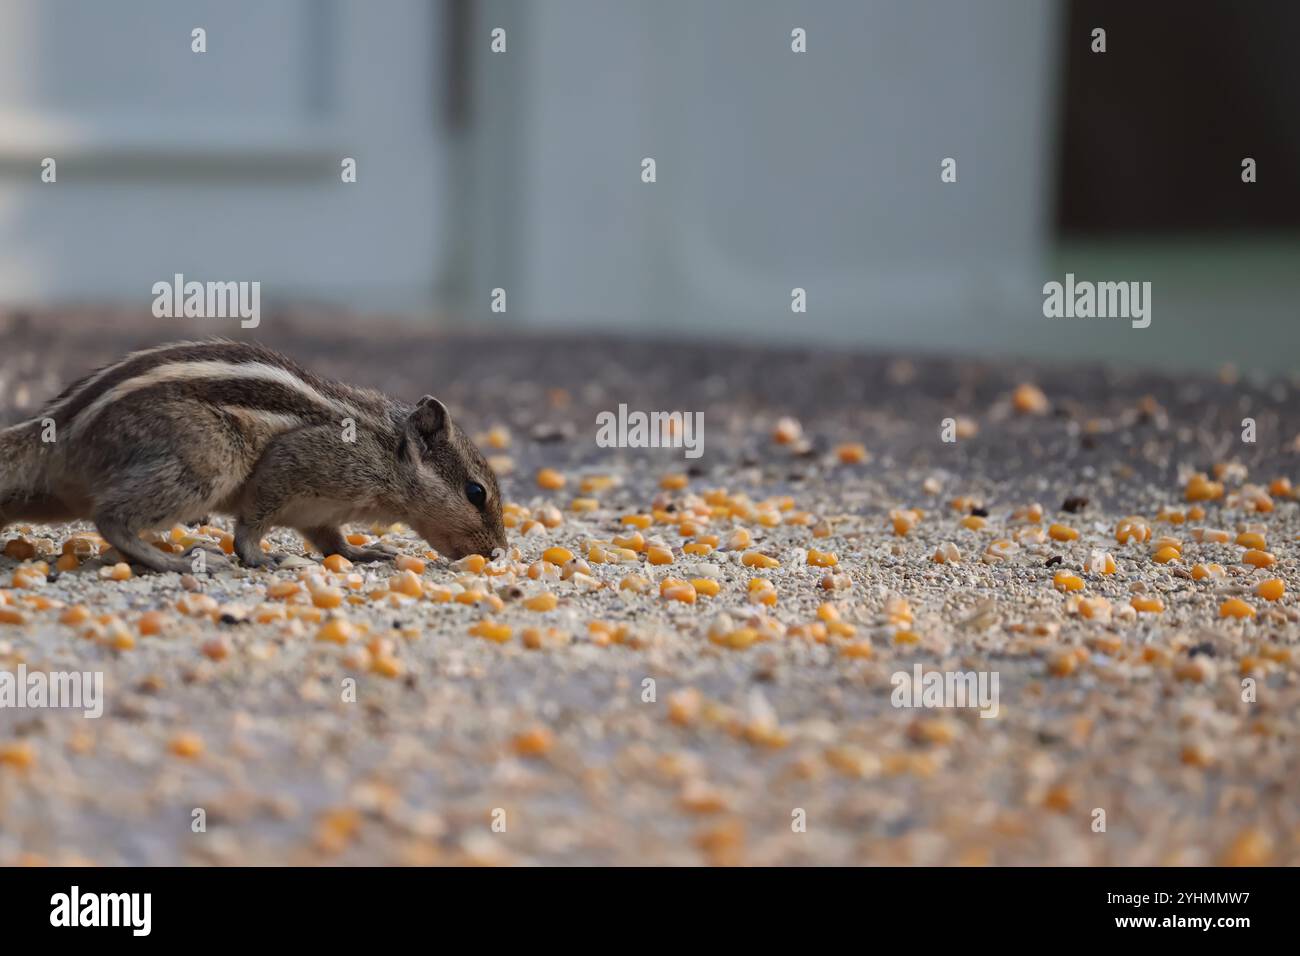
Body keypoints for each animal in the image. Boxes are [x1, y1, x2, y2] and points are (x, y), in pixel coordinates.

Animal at [0, 340, 506, 572]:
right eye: (475, 492)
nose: (499, 552)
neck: (385, 448)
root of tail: (59, 426)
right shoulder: (292, 464)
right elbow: (251, 524)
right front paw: (259, 557)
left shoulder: (320, 513)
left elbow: (331, 540)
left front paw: (362, 553)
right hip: (208, 458)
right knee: (112, 519)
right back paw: (180, 562)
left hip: (43, 499)